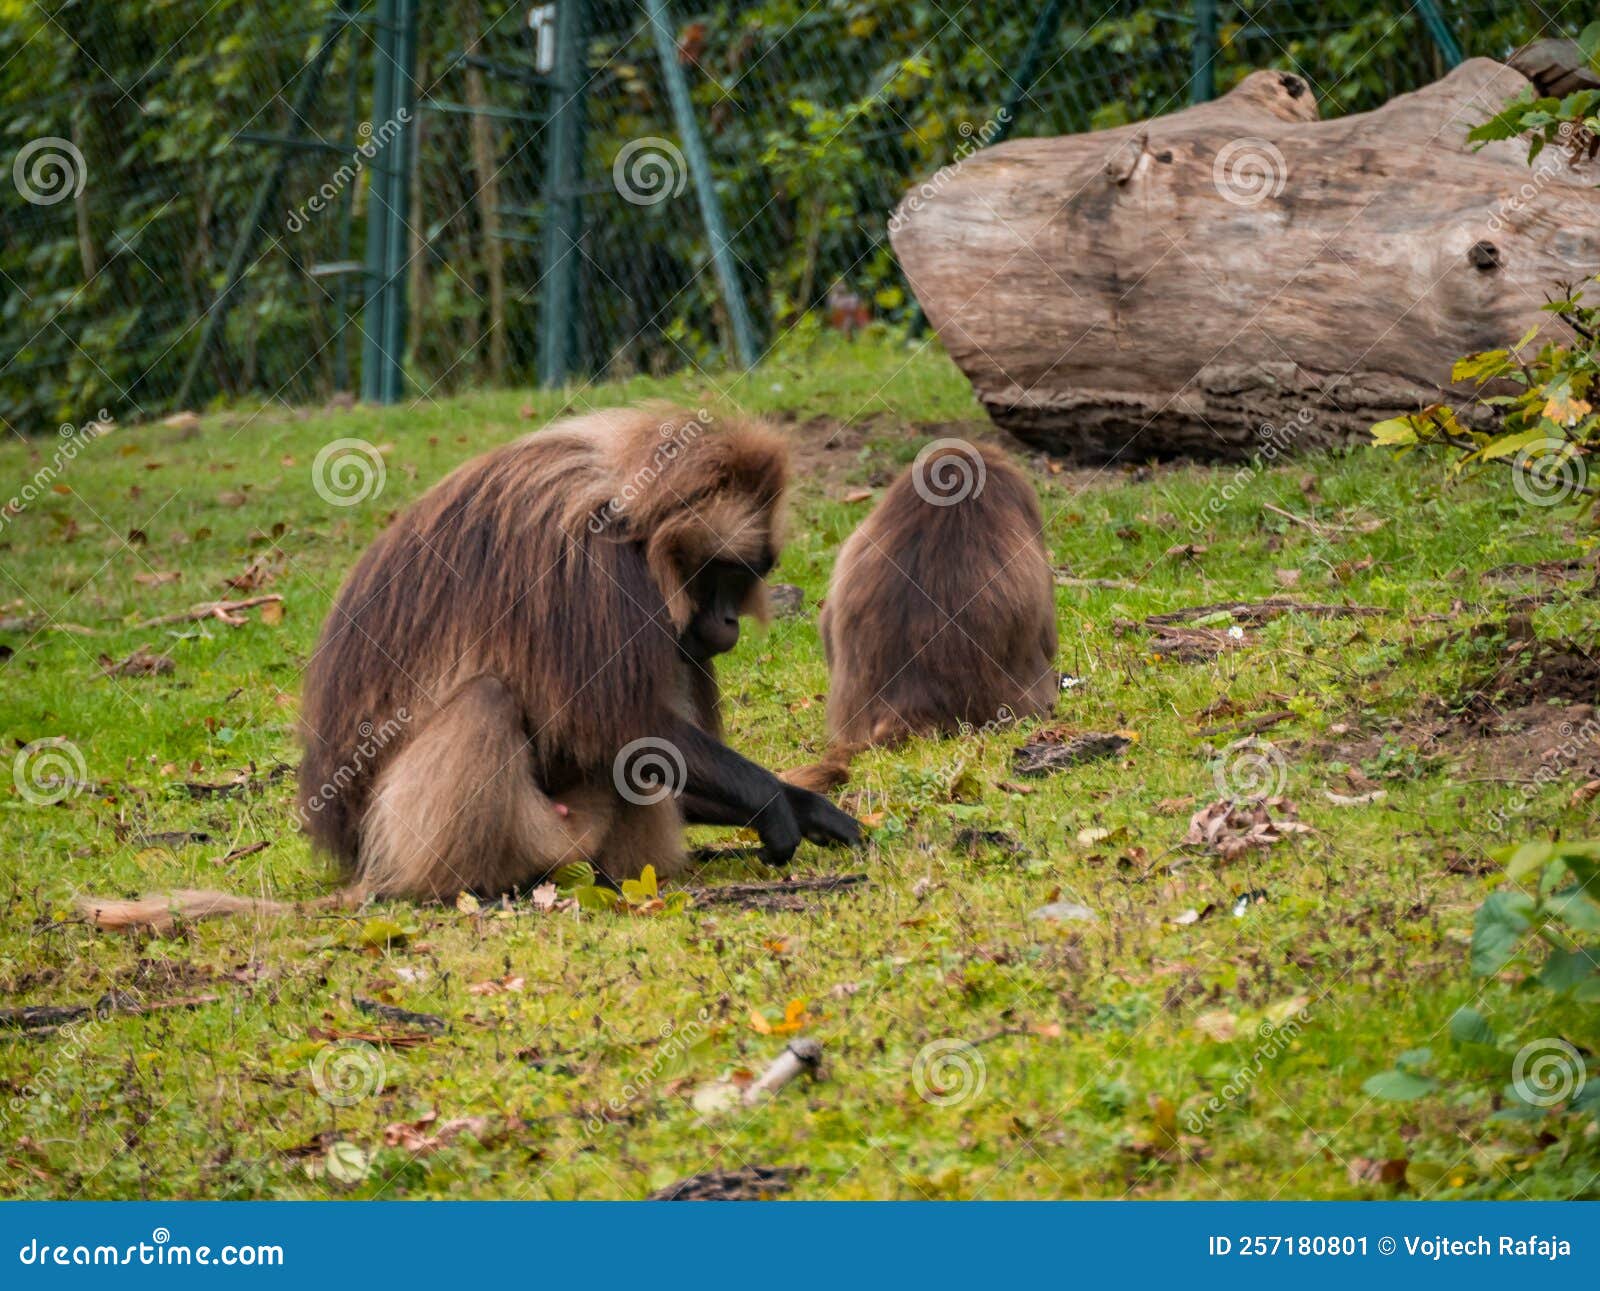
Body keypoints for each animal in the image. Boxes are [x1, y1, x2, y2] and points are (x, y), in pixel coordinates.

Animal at [81, 405, 860, 931]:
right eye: (720, 573)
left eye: (746, 576)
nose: (727, 624)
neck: (627, 498)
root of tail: (361, 867)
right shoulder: (586, 559)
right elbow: (616, 726)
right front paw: (779, 803)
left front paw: (794, 806)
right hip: (513, 830)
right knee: (490, 703)